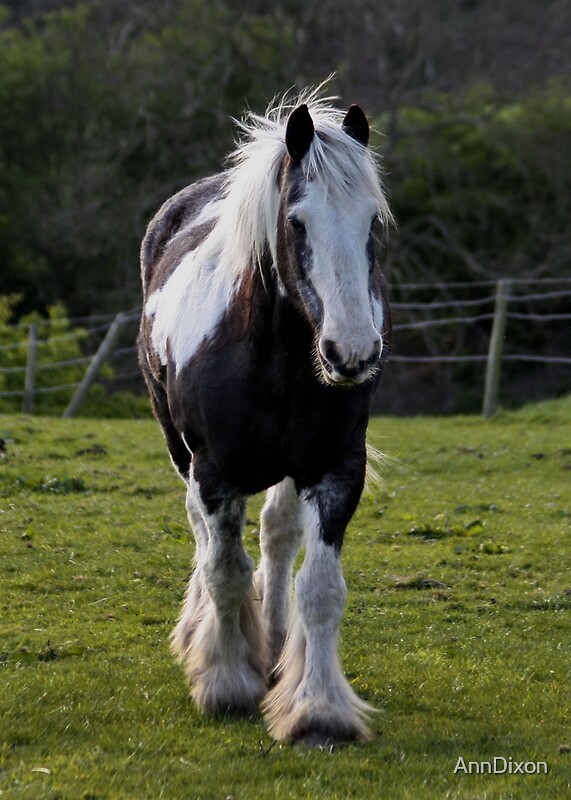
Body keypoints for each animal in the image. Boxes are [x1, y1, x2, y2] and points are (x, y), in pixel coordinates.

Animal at [138, 88, 392, 746]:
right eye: (297, 221)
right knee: (205, 539)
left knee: (277, 536)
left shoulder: (337, 469)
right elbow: (225, 570)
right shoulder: (214, 473)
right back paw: (204, 637)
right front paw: (227, 683)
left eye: (372, 224)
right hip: (181, 452)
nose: (352, 352)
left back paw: (276, 645)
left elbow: (319, 587)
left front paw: (318, 709)